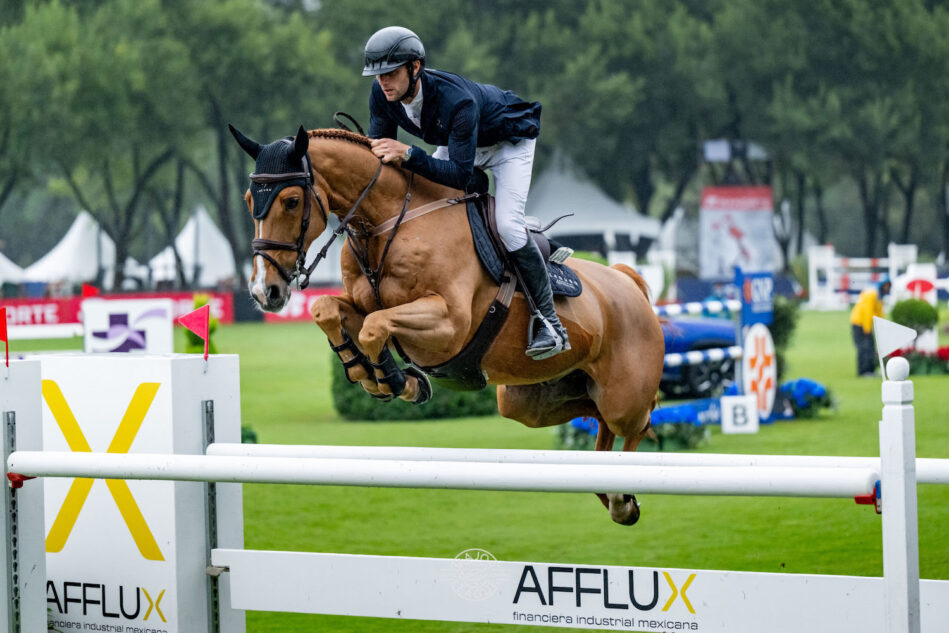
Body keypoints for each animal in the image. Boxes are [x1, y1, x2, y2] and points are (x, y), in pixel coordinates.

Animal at [230, 124, 665, 525]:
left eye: (290, 201)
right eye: (249, 200)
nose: (265, 291)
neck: (388, 223)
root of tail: (628, 281)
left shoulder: (448, 326)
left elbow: (375, 327)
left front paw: (394, 380)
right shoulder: (361, 306)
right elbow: (329, 310)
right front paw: (372, 374)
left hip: (621, 396)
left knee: (637, 420)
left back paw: (623, 498)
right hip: (528, 401)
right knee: (596, 419)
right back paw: (610, 490)